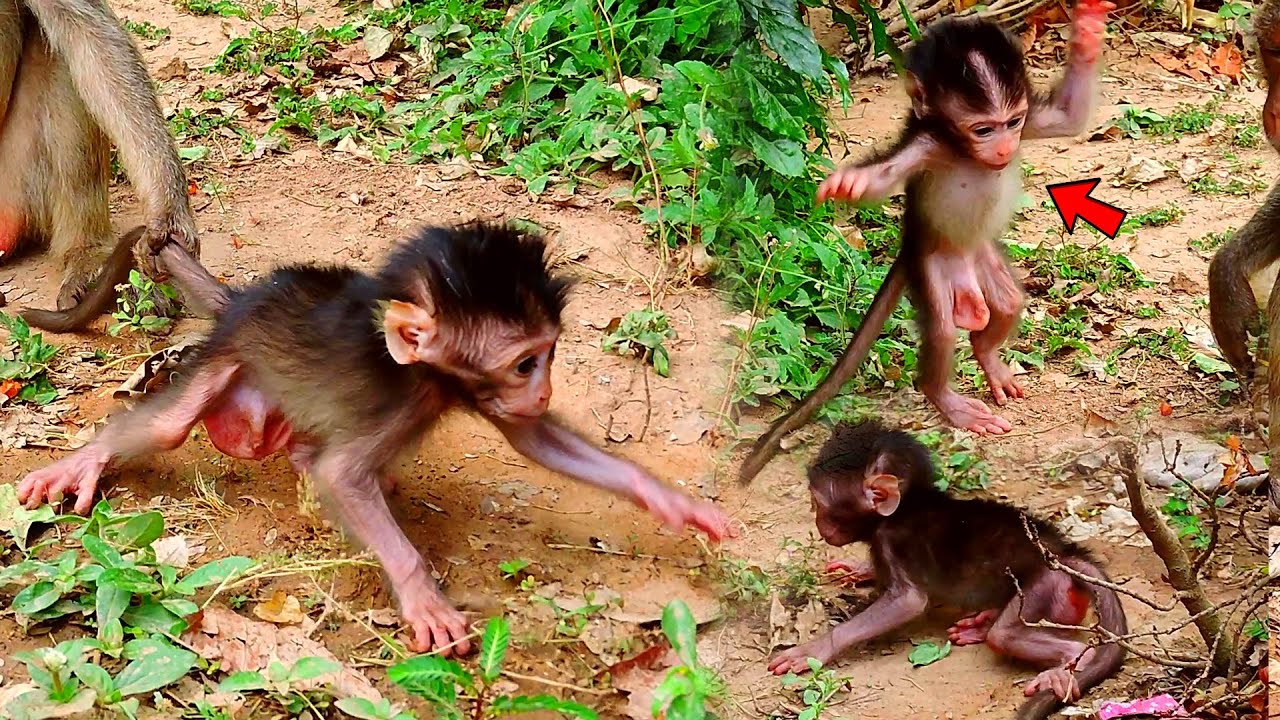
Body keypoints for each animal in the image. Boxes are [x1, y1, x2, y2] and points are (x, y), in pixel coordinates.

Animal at [16, 221, 733, 655]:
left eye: (549, 356)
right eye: (526, 362)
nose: (544, 392)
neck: (425, 374)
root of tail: (248, 296)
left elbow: (532, 441)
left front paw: (673, 503)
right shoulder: (400, 398)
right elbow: (343, 475)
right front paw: (423, 598)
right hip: (232, 350)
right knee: (171, 425)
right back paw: (88, 460)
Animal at [737, 1, 1113, 484]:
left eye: (1011, 123)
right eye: (983, 130)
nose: (1004, 150)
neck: (961, 149)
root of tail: (914, 247)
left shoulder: (1029, 121)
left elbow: (1069, 117)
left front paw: (1086, 34)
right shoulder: (926, 144)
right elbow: (881, 179)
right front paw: (848, 184)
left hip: (981, 257)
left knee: (1008, 301)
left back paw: (988, 356)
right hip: (930, 266)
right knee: (943, 331)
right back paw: (943, 396)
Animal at [767, 420, 1127, 720]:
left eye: (819, 503)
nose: (819, 524)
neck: (905, 507)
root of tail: (1065, 553)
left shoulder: (892, 542)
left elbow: (907, 602)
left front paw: (815, 649)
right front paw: (858, 568)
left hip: (1045, 583)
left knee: (1007, 636)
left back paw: (1066, 662)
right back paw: (981, 623)